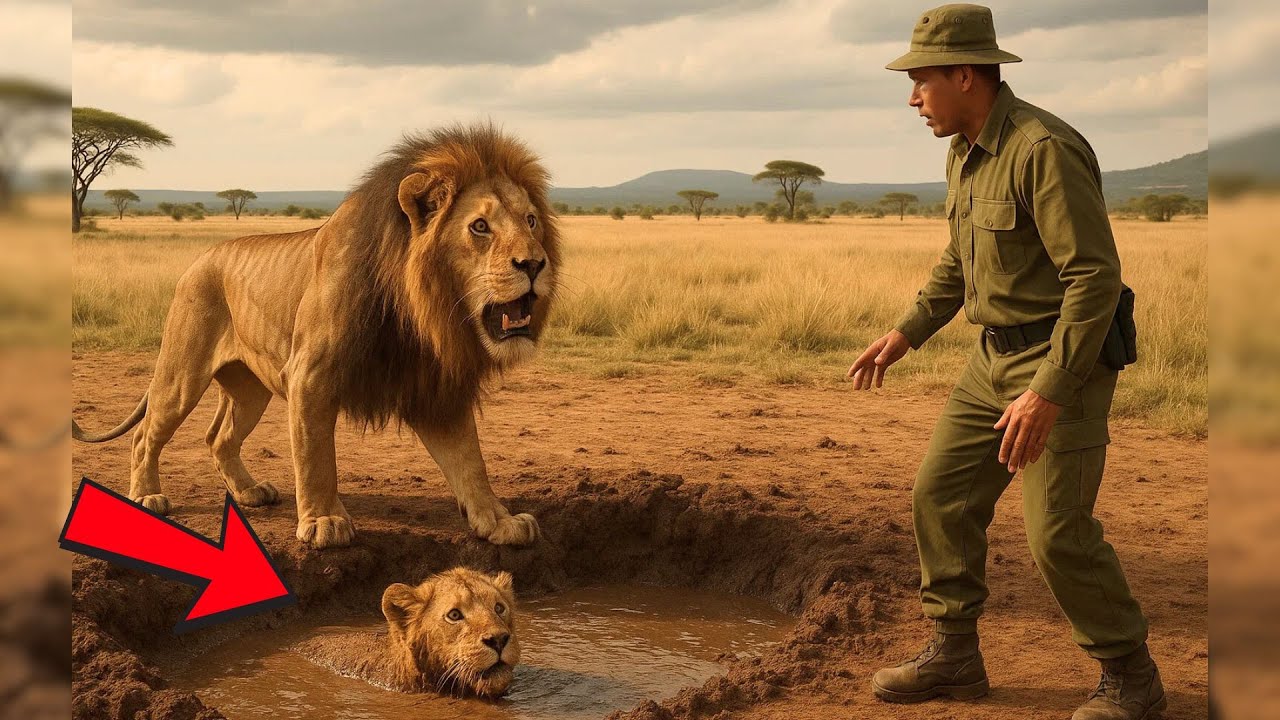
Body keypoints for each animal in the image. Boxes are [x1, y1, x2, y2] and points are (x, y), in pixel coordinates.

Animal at [72, 123, 560, 548]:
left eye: (532, 221)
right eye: (479, 227)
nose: (535, 264)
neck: (419, 311)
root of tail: (201, 257)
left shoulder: (434, 387)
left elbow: (470, 461)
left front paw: (499, 520)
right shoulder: (311, 376)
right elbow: (317, 457)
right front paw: (325, 522)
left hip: (250, 390)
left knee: (219, 436)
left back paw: (250, 492)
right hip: (181, 374)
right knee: (146, 434)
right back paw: (146, 496)